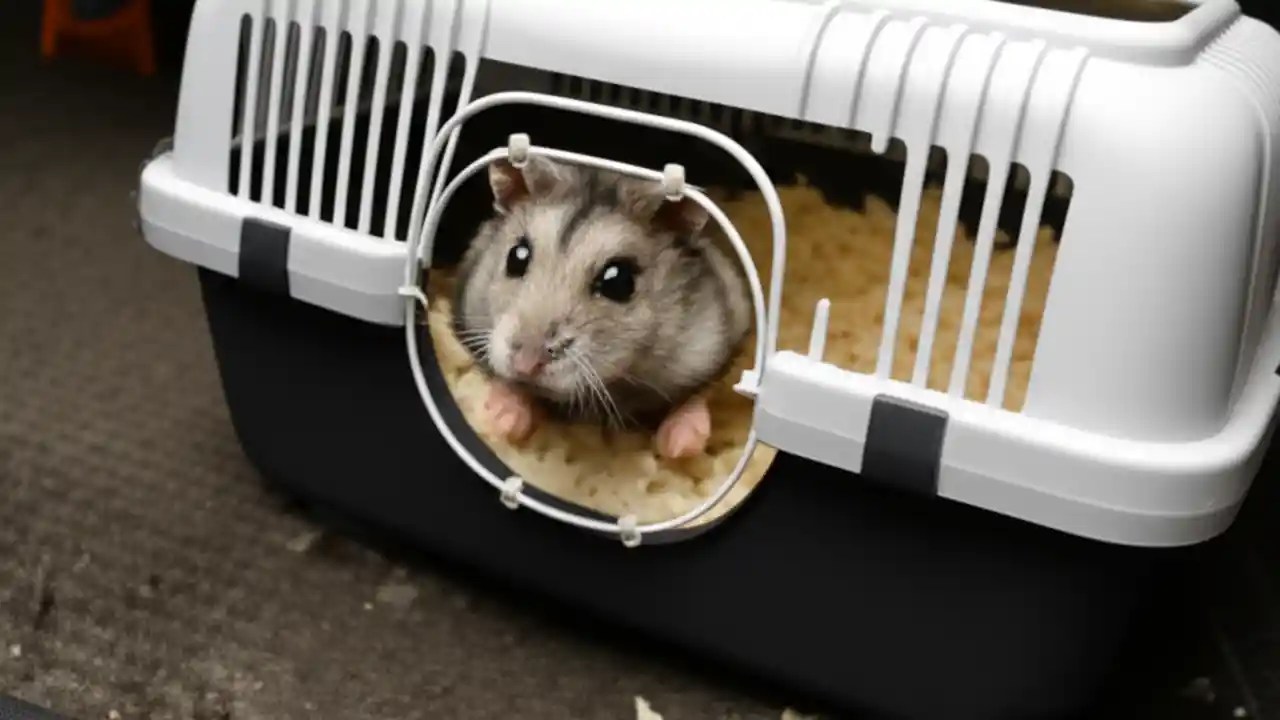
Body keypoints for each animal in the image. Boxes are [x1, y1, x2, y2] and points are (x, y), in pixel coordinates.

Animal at [452, 155, 752, 459]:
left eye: (618, 281)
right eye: (516, 256)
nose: (525, 364)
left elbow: (705, 391)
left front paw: (679, 447)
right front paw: (500, 419)